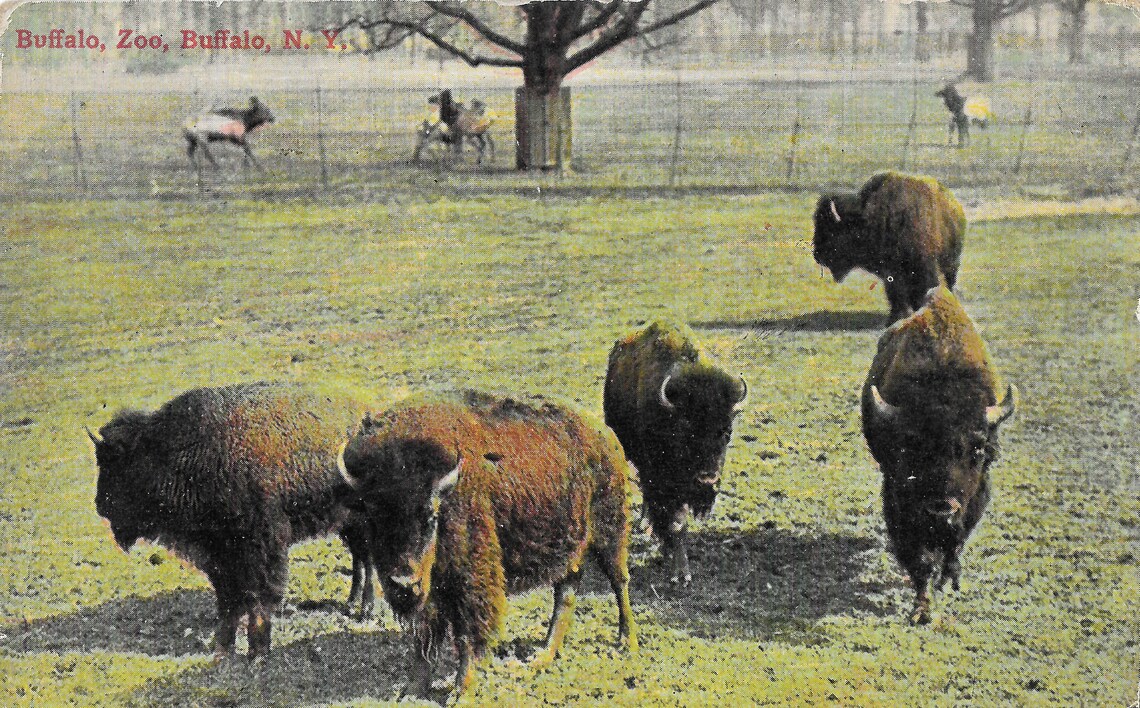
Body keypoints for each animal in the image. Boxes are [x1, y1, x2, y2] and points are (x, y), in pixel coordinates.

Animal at [89, 382, 376, 658]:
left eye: (117, 462)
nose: (100, 505)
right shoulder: (219, 554)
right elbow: (228, 600)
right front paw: (224, 649)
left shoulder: (260, 548)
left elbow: (258, 596)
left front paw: (257, 652)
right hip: (347, 524)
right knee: (359, 557)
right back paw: (352, 602)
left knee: (366, 559)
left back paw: (365, 609)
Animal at [337, 390, 637, 699]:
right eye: (373, 517)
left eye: (431, 516)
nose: (404, 584)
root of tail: (606, 435)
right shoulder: (431, 586)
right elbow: (425, 636)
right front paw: (413, 689)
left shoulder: (471, 577)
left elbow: (467, 632)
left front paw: (461, 691)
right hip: (570, 544)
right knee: (566, 593)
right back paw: (542, 655)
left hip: (610, 533)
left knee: (619, 581)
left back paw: (626, 641)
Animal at [603, 321, 747, 585]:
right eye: (686, 429)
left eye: (726, 431)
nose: (707, 479)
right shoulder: (658, 478)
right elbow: (674, 522)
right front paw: (678, 571)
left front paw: (679, 565)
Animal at [813, 171, 967, 324]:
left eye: (831, 231)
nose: (817, 255)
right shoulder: (891, 272)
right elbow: (896, 294)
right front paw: (895, 317)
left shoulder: (924, 264)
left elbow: (925, 287)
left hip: (951, 262)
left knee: (949, 280)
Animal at [861, 288, 1016, 624]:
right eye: (910, 446)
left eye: (978, 448)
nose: (941, 511)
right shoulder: (898, 498)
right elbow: (918, 559)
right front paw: (921, 610)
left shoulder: (974, 500)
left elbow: (955, 545)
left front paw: (948, 581)